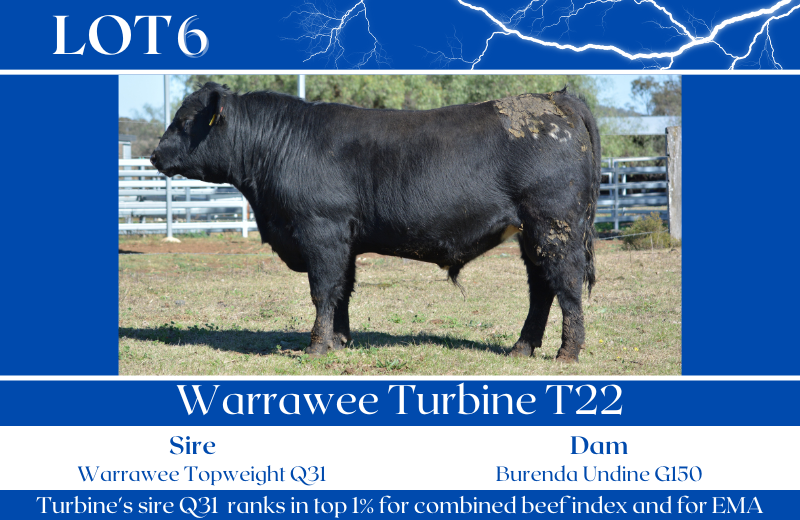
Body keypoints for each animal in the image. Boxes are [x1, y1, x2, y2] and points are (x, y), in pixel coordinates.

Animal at [151, 82, 600, 362]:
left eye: (184, 120)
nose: (154, 154)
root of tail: (557, 100)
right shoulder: (344, 239)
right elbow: (342, 291)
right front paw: (340, 341)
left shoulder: (322, 231)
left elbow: (323, 290)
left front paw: (316, 347)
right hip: (532, 233)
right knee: (541, 288)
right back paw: (521, 348)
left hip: (555, 225)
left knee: (566, 284)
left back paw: (567, 353)